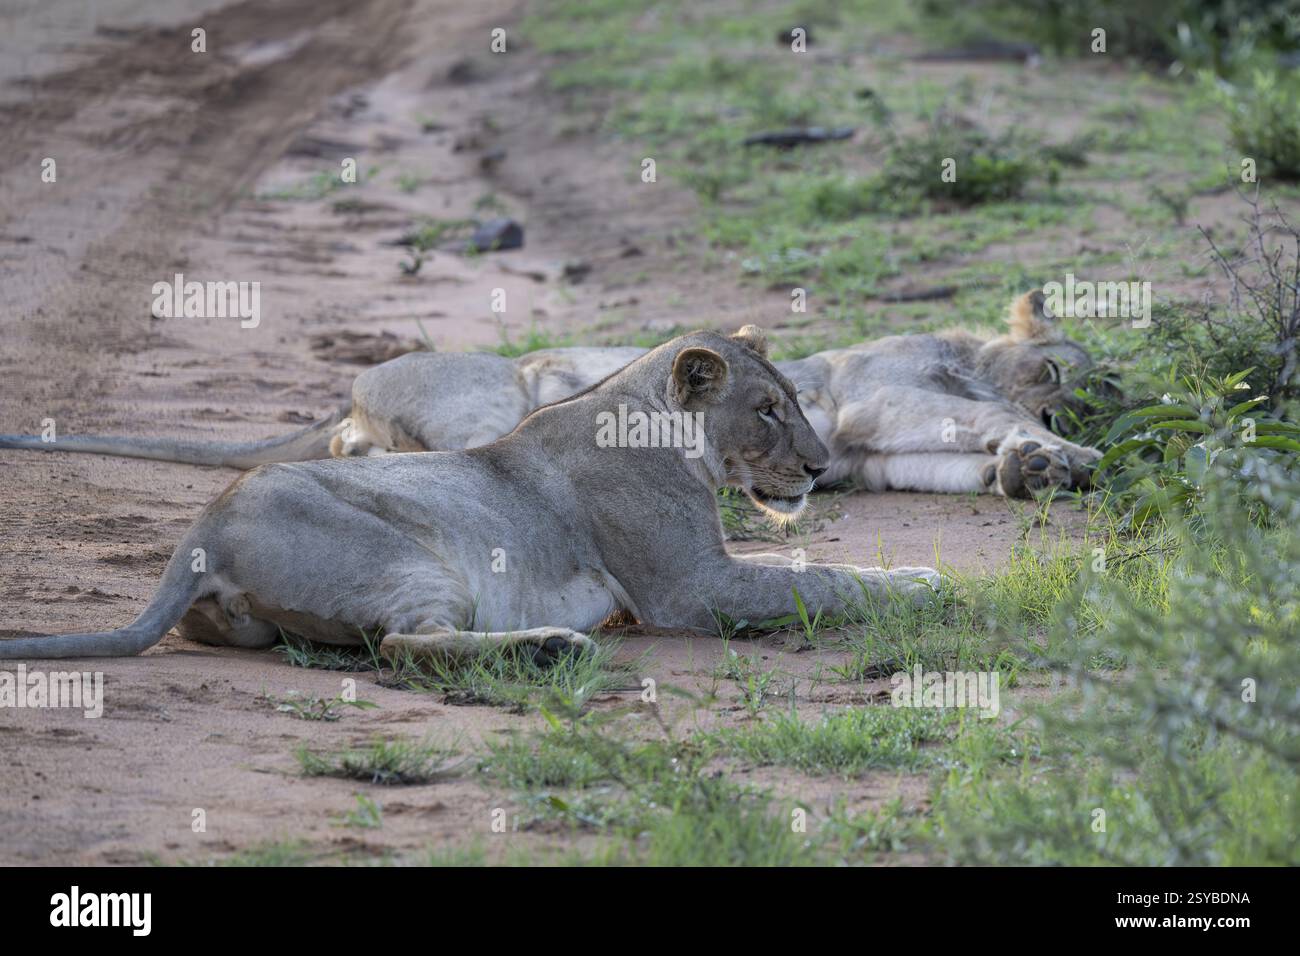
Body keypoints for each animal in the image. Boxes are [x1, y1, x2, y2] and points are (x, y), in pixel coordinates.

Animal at [0, 328, 940, 662]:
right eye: (767, 410)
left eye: (794, 401)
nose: (819, 469)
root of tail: (204, 529)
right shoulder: (687, 590)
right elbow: (818, 578)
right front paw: (924, 584)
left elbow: (814, 568)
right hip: (415, 559)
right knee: (401, 646)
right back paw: (551, 646)